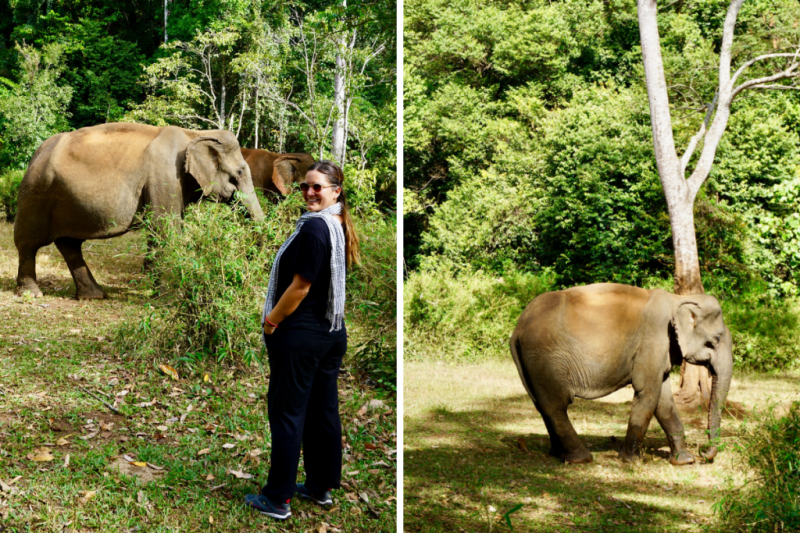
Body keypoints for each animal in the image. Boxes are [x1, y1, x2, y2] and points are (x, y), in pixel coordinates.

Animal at [14, 122, 264, 300]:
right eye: (240, 172)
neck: (194, 134)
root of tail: (35, 155)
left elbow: (164, 230)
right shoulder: (164, 176)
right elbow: (166, 228)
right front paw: (170, 297)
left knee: (69, 244)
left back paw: (94, 296)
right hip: (36, 195)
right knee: (28, 243)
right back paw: (32, 294)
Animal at [509, 283, 732, 465]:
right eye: (717, 338)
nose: (703, 454)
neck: (677, 300)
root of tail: (517, 330)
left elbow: (664, 400)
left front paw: (685, 461)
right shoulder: (653, 341)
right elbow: (648, 393)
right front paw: (630, 461)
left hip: (532, 362)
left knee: (542, 404)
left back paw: (558, 454)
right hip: (546, 357)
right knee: (556, 404)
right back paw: (581, 458)